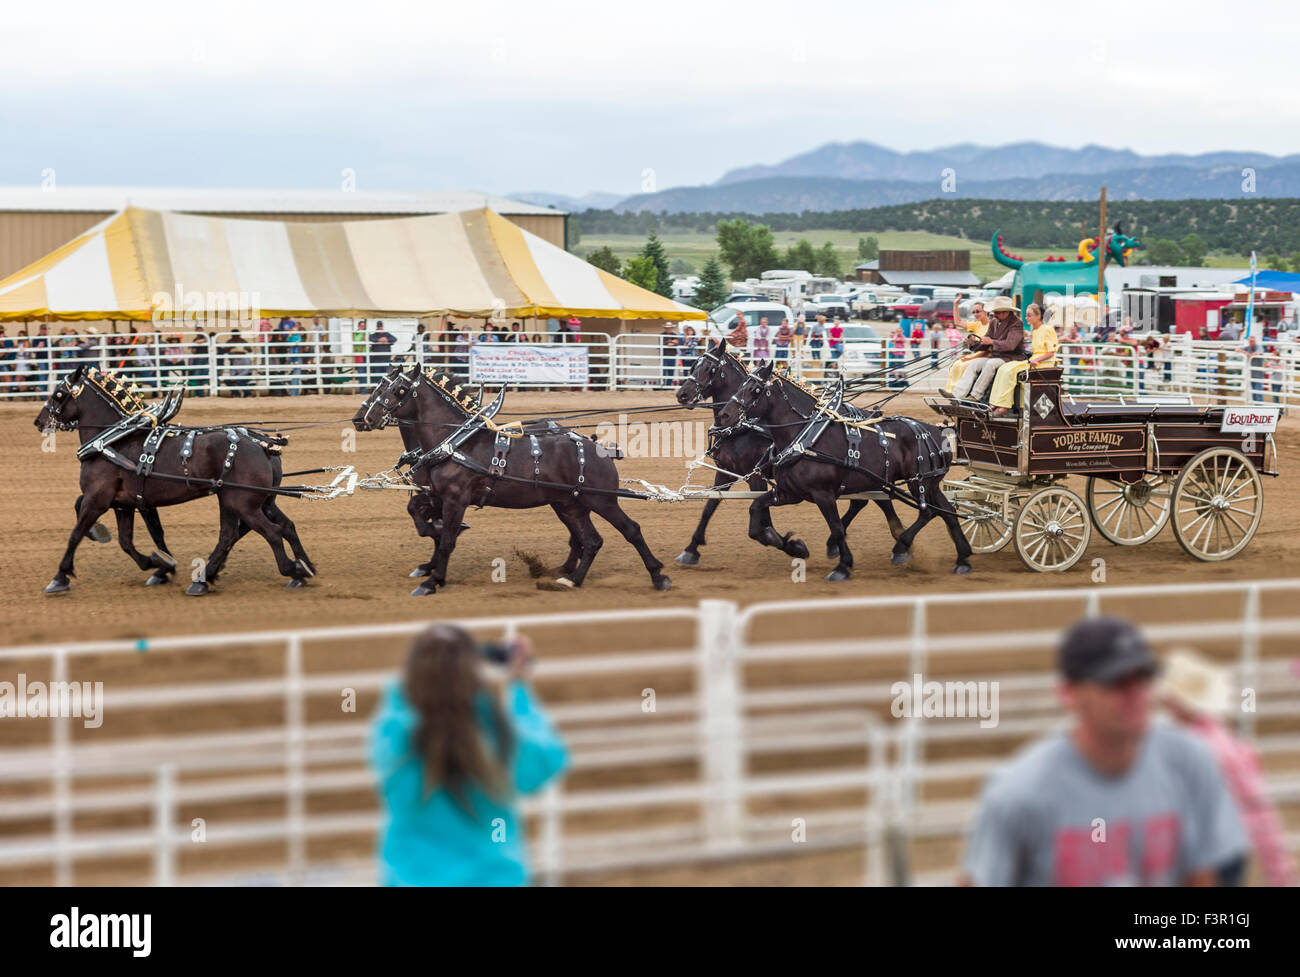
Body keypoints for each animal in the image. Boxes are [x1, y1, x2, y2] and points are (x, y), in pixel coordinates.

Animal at [34, 364, 317, 595]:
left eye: (58, 393)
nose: (38, 421)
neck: (112, 440)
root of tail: (263, 444)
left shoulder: (98, 499)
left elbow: (76, 533)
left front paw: (60, 577)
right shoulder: (126, 503)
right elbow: (131, 540)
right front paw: (159, 565)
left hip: (242, 502)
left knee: (270, 533)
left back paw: (292, 571)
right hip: (245, 499)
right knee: (261, 530)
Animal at [373, 365, 670, 596]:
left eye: (399, 390)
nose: (367, 417)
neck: (456, 444)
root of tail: (602, 450)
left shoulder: (456, 500)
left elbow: (446, 540)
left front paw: (433, 580)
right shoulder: (437, 494)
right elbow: (420, 515)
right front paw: (431, 559)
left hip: (602, 500)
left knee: (630, 530)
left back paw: (658, 576)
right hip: (570, 505)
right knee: (590, 540)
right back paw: (570, 578)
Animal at [675, 339, 905, 564]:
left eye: (710, 368)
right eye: (694, 365)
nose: (682, 394)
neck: (744, 427)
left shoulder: (755, 476)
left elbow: (763, 516)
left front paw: (788, 544)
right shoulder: (725, 472)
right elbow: (710, 506)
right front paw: (691, 548)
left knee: (872, 500)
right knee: (870, 500)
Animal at [717, 361, 972, 579]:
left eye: (756, 389)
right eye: (741, 383)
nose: (724, 415)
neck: (805, 436)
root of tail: (938, 430)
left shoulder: (823, 494)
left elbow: (838, 528)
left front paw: (842, 566)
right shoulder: (790, 493)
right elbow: (755, 511)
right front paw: (791, 545)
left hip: (918, 481)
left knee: (928, 512)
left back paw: (902, 546)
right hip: (930, 483)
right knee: (947, 512)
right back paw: (963, 558)